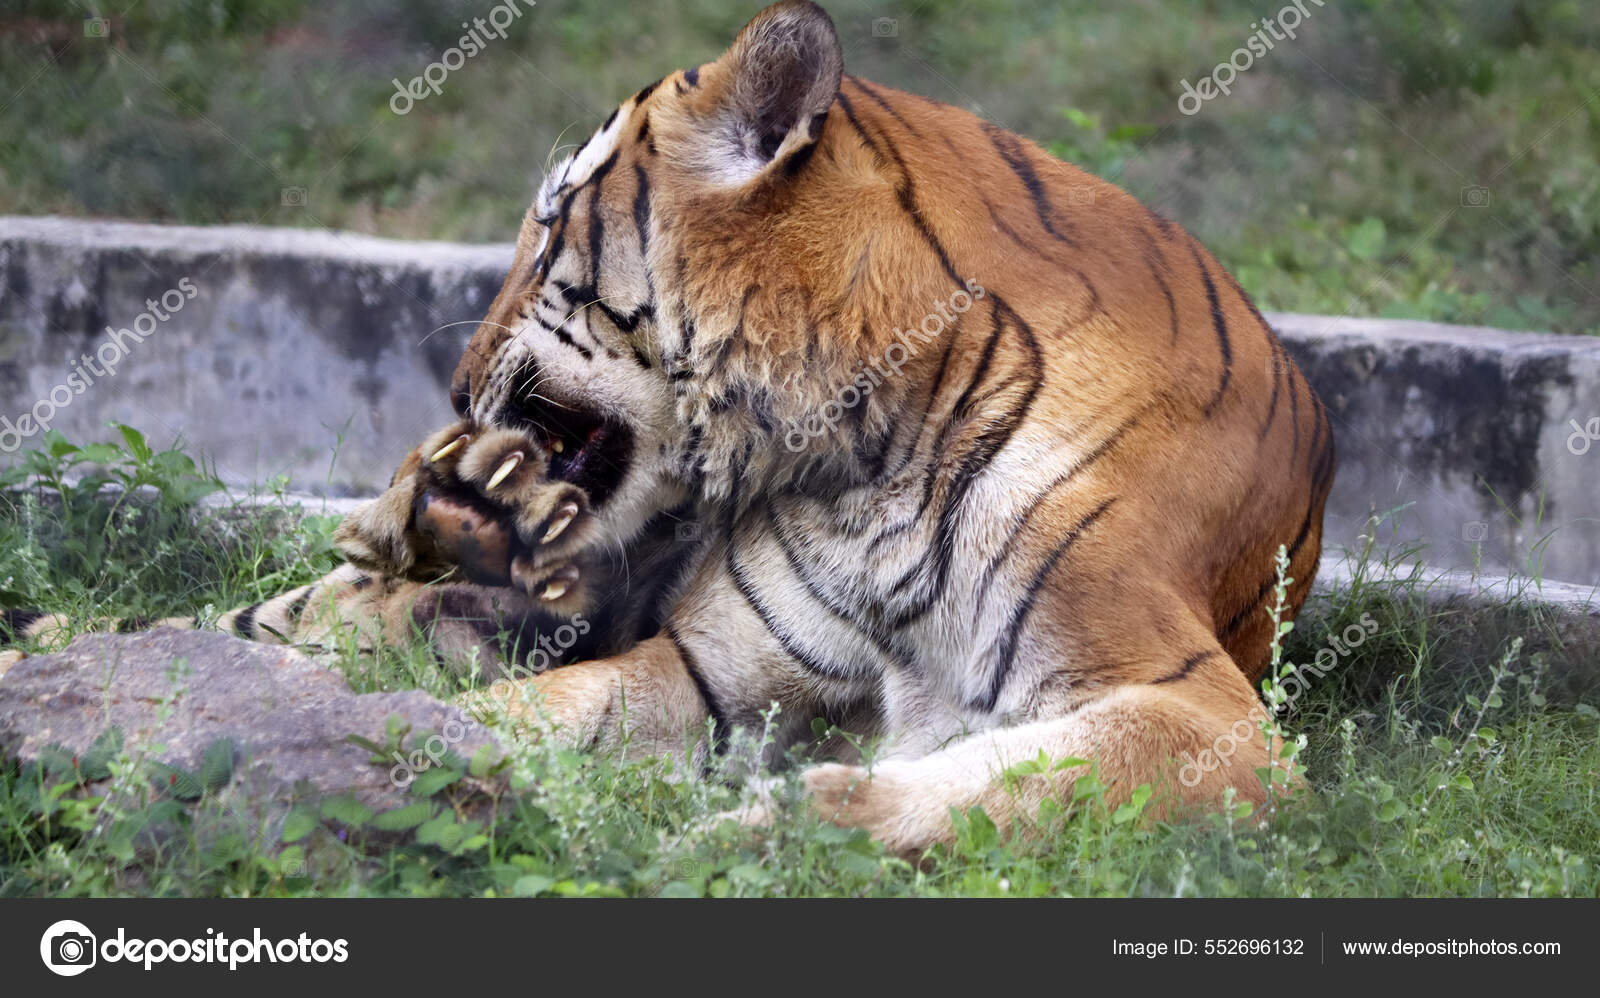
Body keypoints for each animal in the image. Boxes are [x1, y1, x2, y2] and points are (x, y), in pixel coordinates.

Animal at [2, 0, 1334, 853]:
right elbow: (520, 714)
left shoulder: (1196, 705)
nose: (455, 379)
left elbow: (1003, 781)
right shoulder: (710, 669)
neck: (865, 451)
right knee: (280, 614)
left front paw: (780, 825)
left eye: (549, 226)